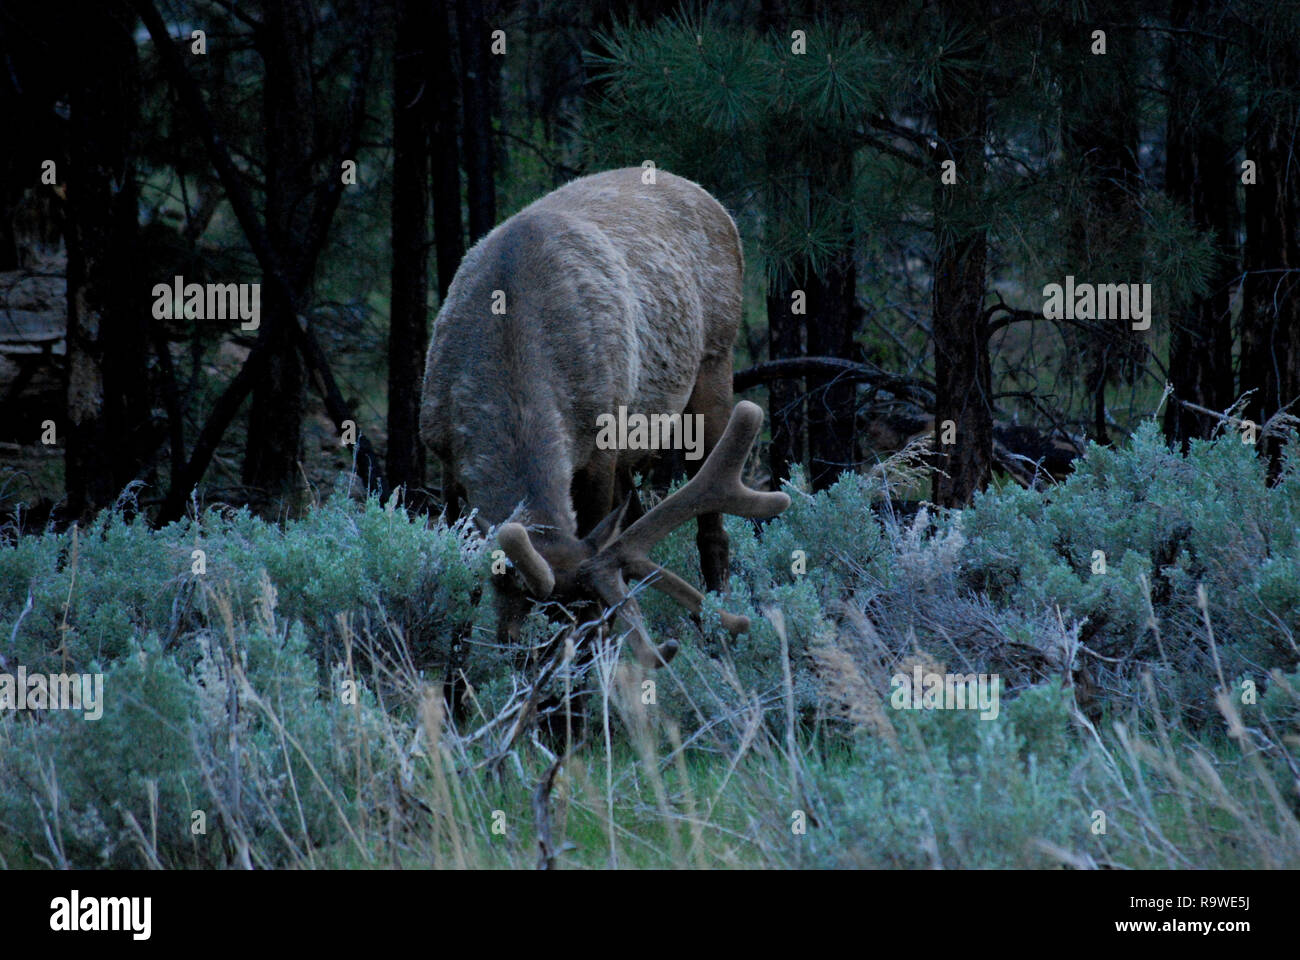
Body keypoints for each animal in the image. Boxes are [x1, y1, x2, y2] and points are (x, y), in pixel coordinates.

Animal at [419, 167, 789, 669]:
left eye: (587, 619)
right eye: (526, 647)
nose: (557, 683)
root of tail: (714, 204)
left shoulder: (600, 443)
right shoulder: (444, 456)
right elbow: (461, 601)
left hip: (717, 357)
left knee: (713, 531)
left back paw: (720, 641)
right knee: (637, 512)